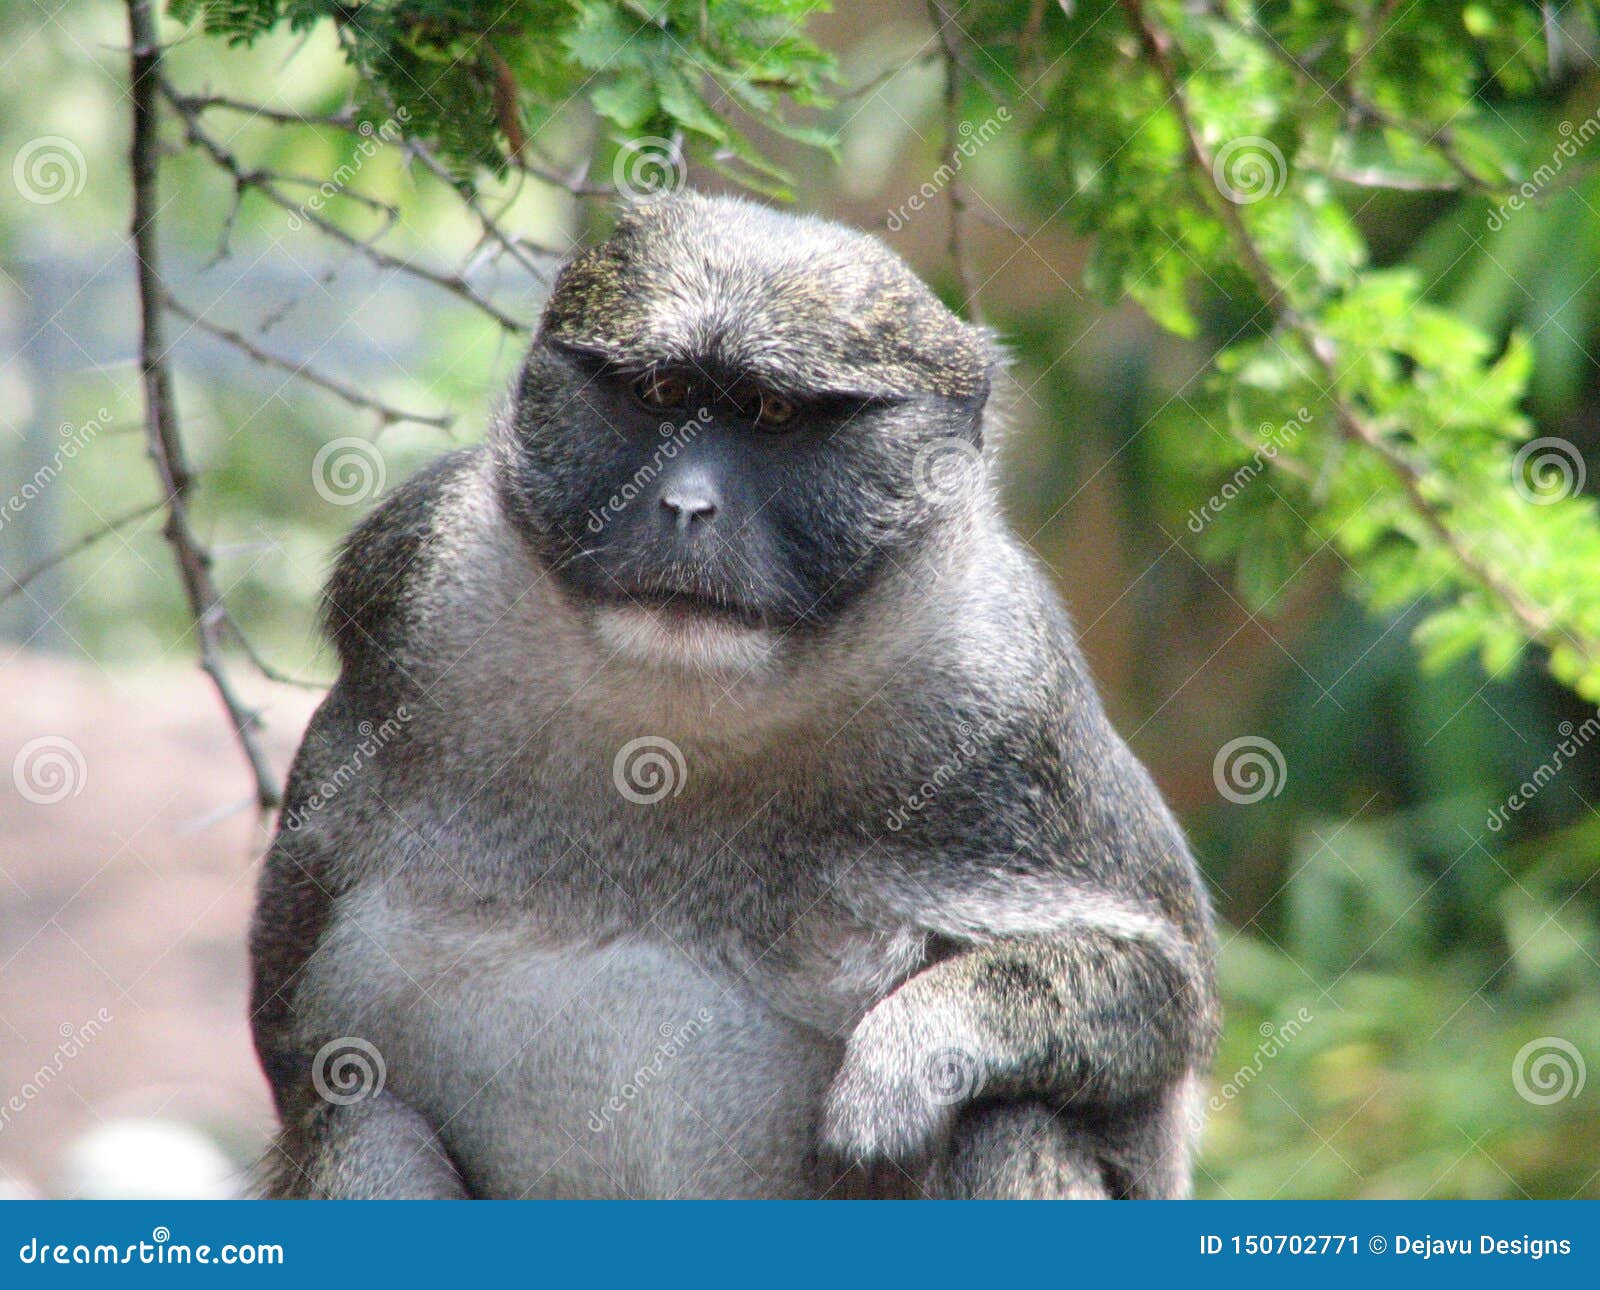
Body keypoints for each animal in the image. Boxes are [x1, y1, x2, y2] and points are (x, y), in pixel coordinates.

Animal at [249, 190, 1218, 1200]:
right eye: (661, 396)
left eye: (772, 413)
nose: (684, 507)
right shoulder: (411, 572)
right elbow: (300, 1048)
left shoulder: (1003, 681)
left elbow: (1161, 991)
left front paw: (911, 1055)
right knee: (364, 1127)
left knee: (1010, 1117)